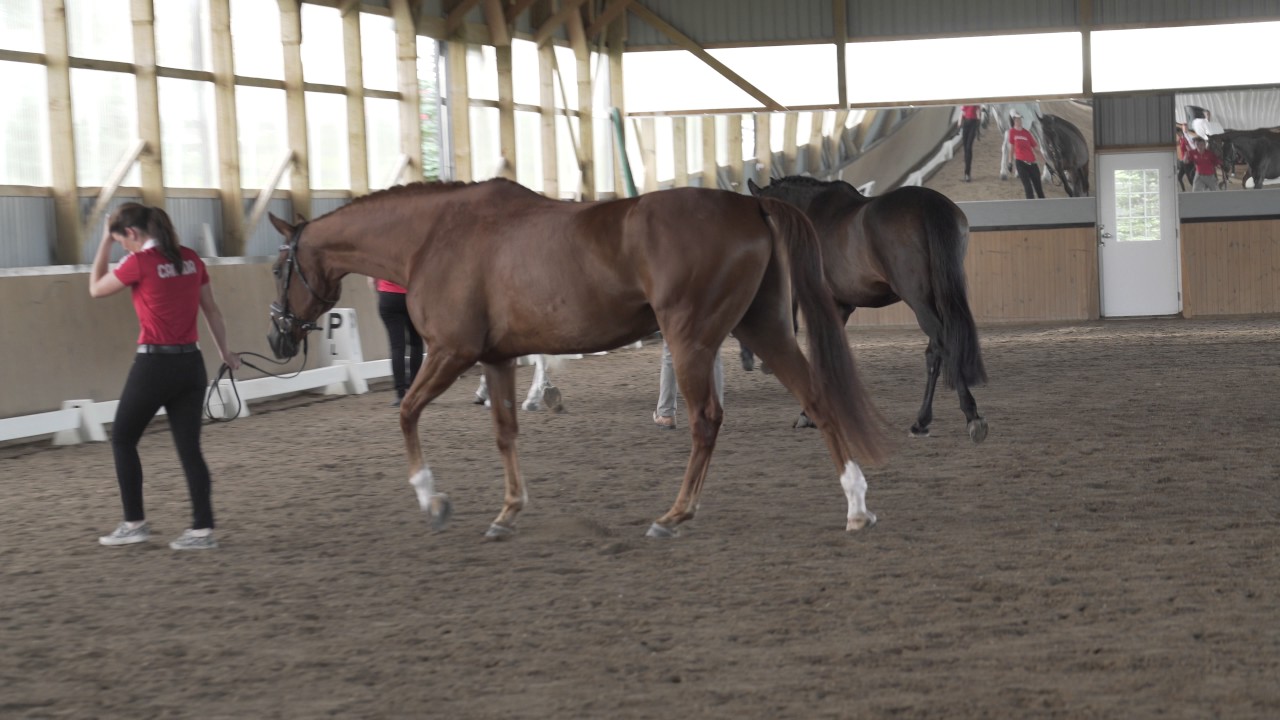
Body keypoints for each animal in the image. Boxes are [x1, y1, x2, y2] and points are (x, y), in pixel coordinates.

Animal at [265, 178, 889, 538]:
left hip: (691, 338)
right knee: (816, 396)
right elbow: (505, 433)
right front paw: (508, 511)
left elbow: (406, 413)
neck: (435, 237)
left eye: (276, 268)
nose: (278, 339)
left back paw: (675, 515)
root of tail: (749, 203)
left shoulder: (449, 352)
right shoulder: (495, 358)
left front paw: (432, 499)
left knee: (706, 421)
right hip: (761, 327)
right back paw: (856, 504)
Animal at [747, 176, 989, 444]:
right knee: (939, 347)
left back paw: (960, 417)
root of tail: (928, 204)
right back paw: (928, 420)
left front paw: (809, 414)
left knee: (941, 344)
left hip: (919, 300)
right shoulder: (841, 306)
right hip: (940, 296)